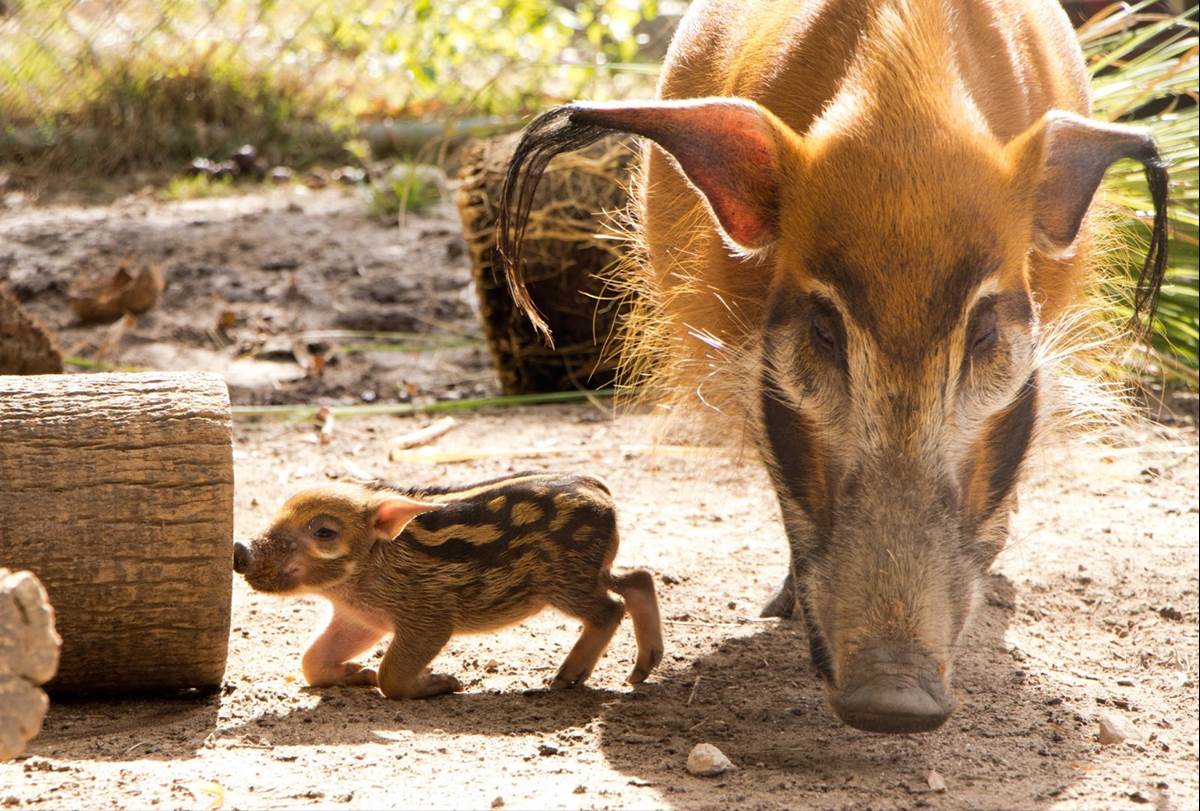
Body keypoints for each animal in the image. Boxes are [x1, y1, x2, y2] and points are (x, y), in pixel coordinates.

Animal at [233, 473, 663, 698]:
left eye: (324, 532)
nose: (240, 550)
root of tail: (600, 491)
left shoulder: (429, 616)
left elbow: (391, 676)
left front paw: (448, 682)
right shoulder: (362, 619)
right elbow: (311, 661)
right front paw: (361, 673)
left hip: (567, 581)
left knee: (610, 608)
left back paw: (564, 679)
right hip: (590, 571)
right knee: (639, 579)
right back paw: (639, 672)